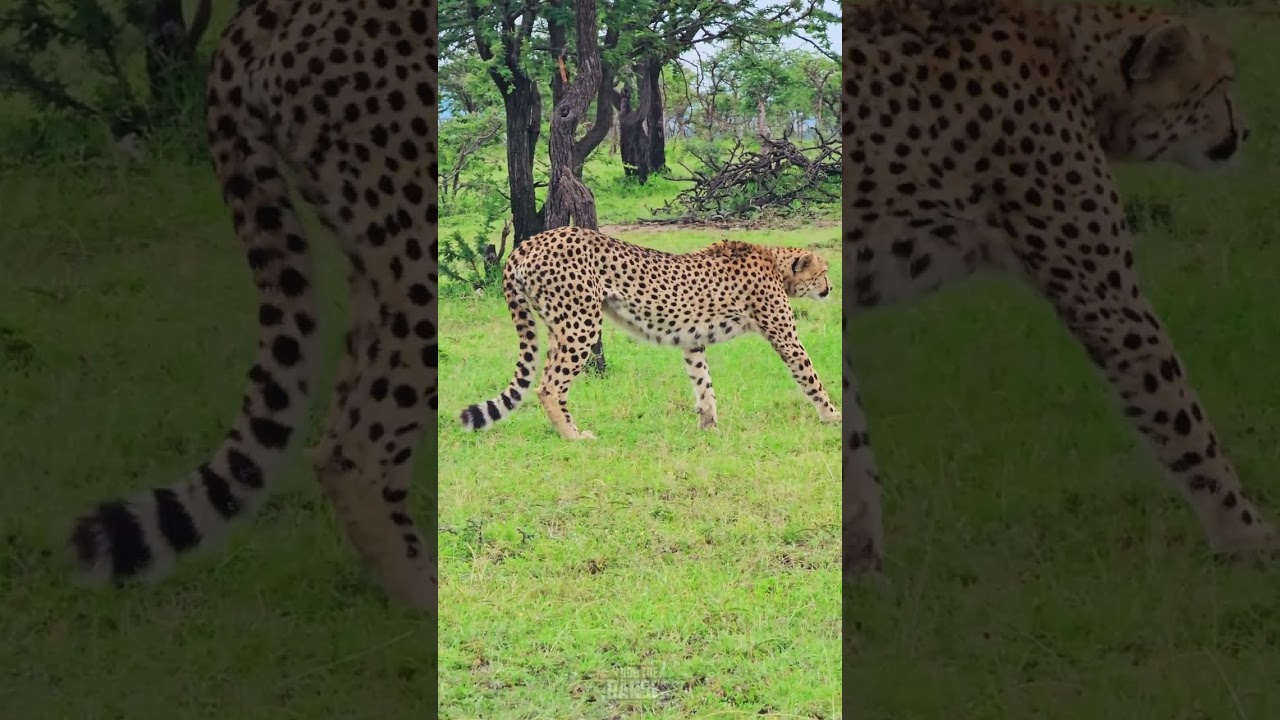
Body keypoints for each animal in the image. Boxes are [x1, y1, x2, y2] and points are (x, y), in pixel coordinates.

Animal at [65, 0, 438, 612]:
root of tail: (263, 12)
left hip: (370, 257)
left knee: (335, 438)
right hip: (413, 251)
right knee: (355, 451)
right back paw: (422, 602)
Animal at [458, 226, 841, 440]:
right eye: (823, 272)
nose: (830, 288)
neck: (775, 263)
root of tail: (532, 240)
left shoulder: (691, 341)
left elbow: (703, 385)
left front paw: (709, 427)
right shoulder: (785, 335)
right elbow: (811, 376)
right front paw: (833, 416)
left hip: (559, 325)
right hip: (582, 324)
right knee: (549, 386)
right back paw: (574, 436)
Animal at [844, 0, 1274, 576]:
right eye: (1220, 84)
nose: (1245, 131)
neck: (1072, 53)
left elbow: (851, 439)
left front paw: (861, 569)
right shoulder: (1105, 299)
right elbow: (1181, 418)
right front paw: (1249, 537)